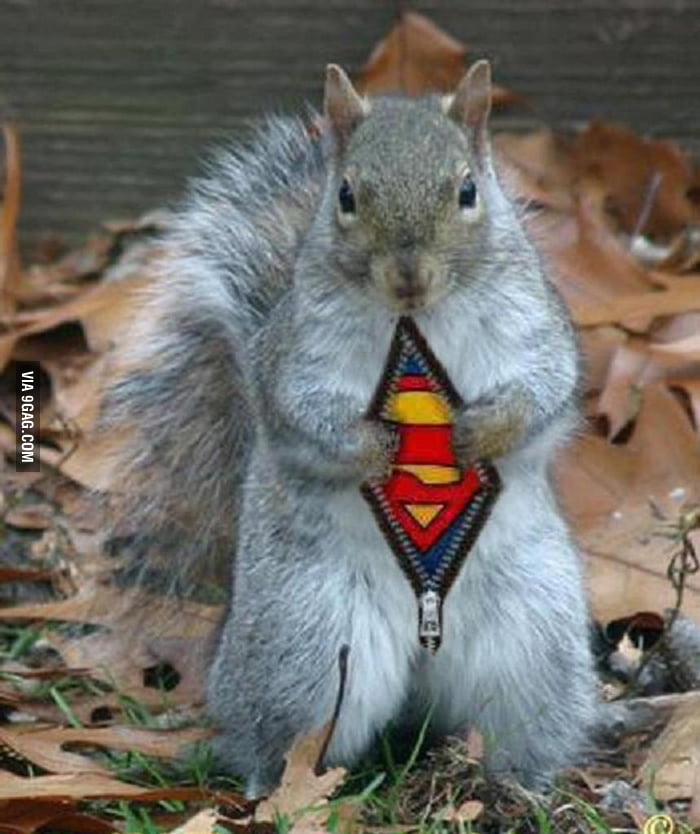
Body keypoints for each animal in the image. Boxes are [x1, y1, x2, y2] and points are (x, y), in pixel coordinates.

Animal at [98, 61, 596, 797]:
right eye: (347, 196)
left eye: (468, 190)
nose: (409, 275)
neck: (418, 320)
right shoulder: (296, 359)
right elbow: (307, 415)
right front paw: (375, 446)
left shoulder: (534, 327)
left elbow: (545, 388)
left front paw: (484, 429)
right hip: (304, 641)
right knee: (278, 733)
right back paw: (275, 788)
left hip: (534, 640)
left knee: (522, 719)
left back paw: (520, 788)